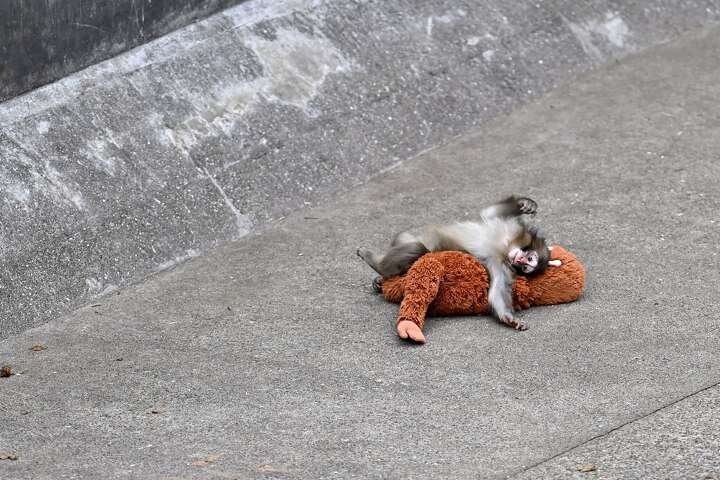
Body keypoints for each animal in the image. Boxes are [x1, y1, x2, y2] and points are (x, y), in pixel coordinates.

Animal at [357, 196, 550, 331]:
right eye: (529, 259)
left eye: (526, 267)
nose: (520, 260)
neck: (505, 248)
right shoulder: (511, 230)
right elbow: (490, 213)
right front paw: (525, 204)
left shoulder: (501, 265)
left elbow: (496, 293)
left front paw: (510, 319)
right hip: (404, 237)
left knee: (419, 249)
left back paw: (376, 265)